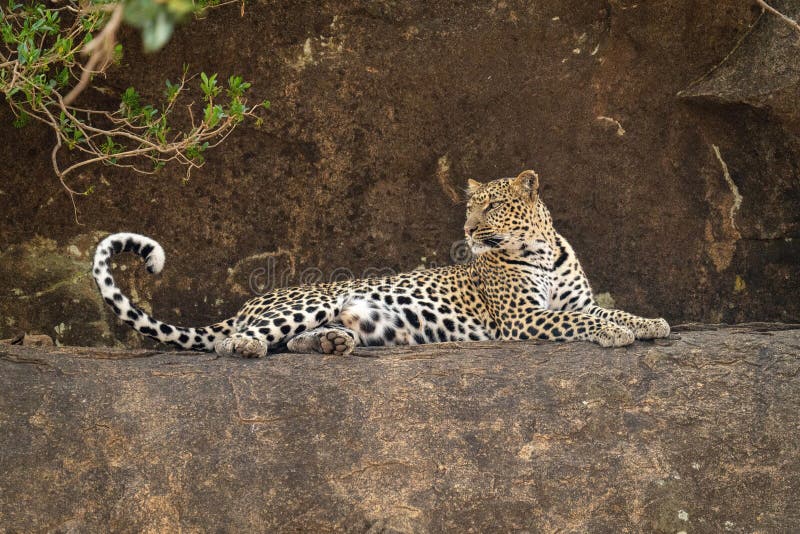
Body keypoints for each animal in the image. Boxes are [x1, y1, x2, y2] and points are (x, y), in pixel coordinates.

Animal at [92, 169, 670, 358]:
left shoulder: (570, 300)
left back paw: (332, 342)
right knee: (232, 341)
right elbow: (580, 320)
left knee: (296, 342)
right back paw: (247, 345)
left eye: (491, 207)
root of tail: (248, 302)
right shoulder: (521, 319)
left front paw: (648, 322)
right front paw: (623, 332)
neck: (542, 252)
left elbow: (599, 309)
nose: (467, 231)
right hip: (310, 300)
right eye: (470, 207)